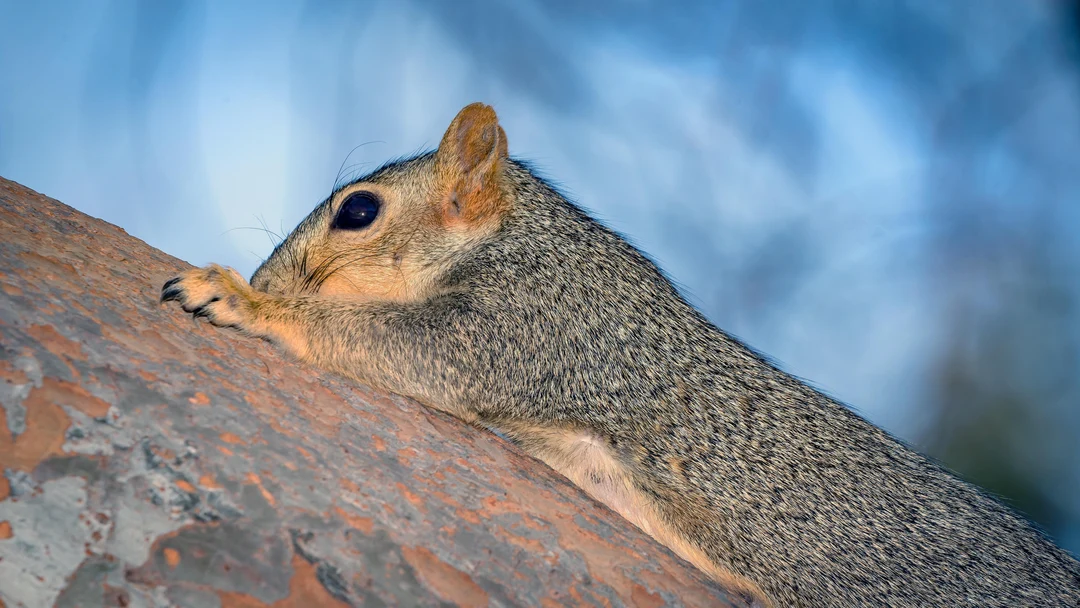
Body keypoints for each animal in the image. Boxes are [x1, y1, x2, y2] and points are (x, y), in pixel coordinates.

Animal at [161, 102, 1080, 607]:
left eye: (358, 211)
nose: (266, 276)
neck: (520, 240)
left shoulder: (540, 323)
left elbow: (416, 351)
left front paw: (243, 300)